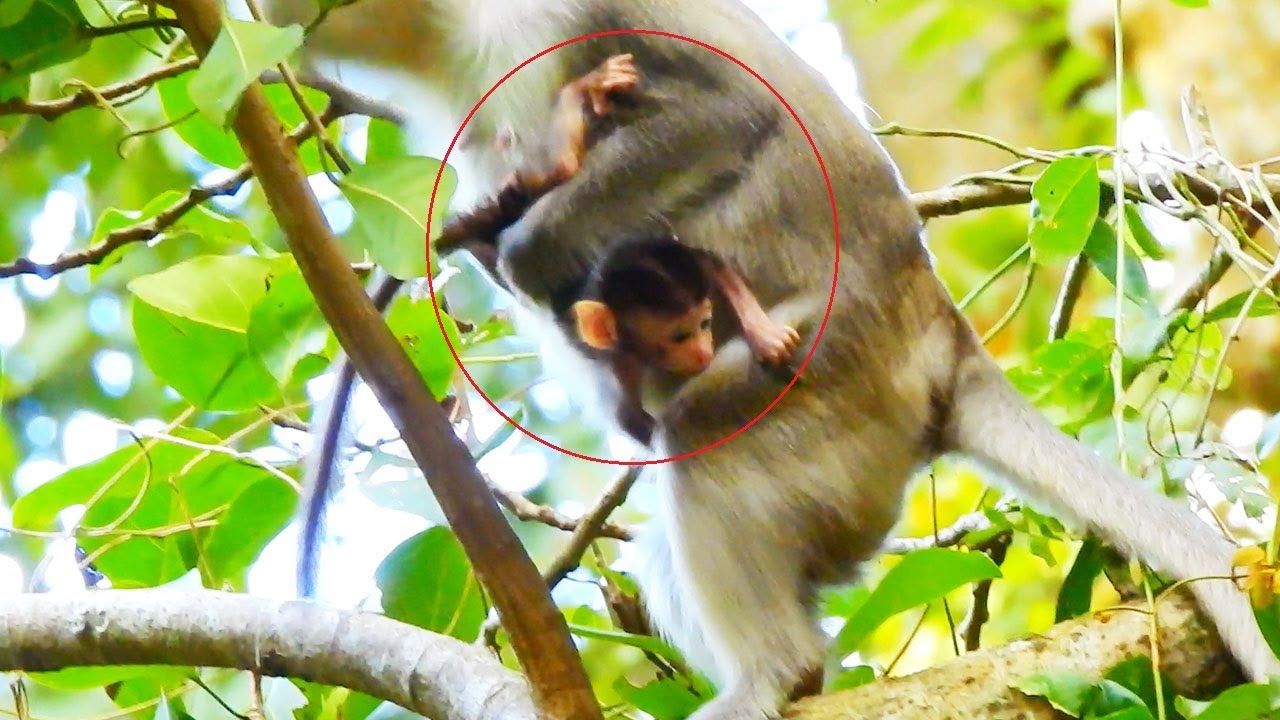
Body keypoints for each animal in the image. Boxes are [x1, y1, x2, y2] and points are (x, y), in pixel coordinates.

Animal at [566, 233, 801, 445]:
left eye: (705, 323)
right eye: (679, 337)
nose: (704, 352)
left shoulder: (693, 263)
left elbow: (713, 264)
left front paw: (766, 336)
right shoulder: (622, 363)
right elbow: (630, 419)